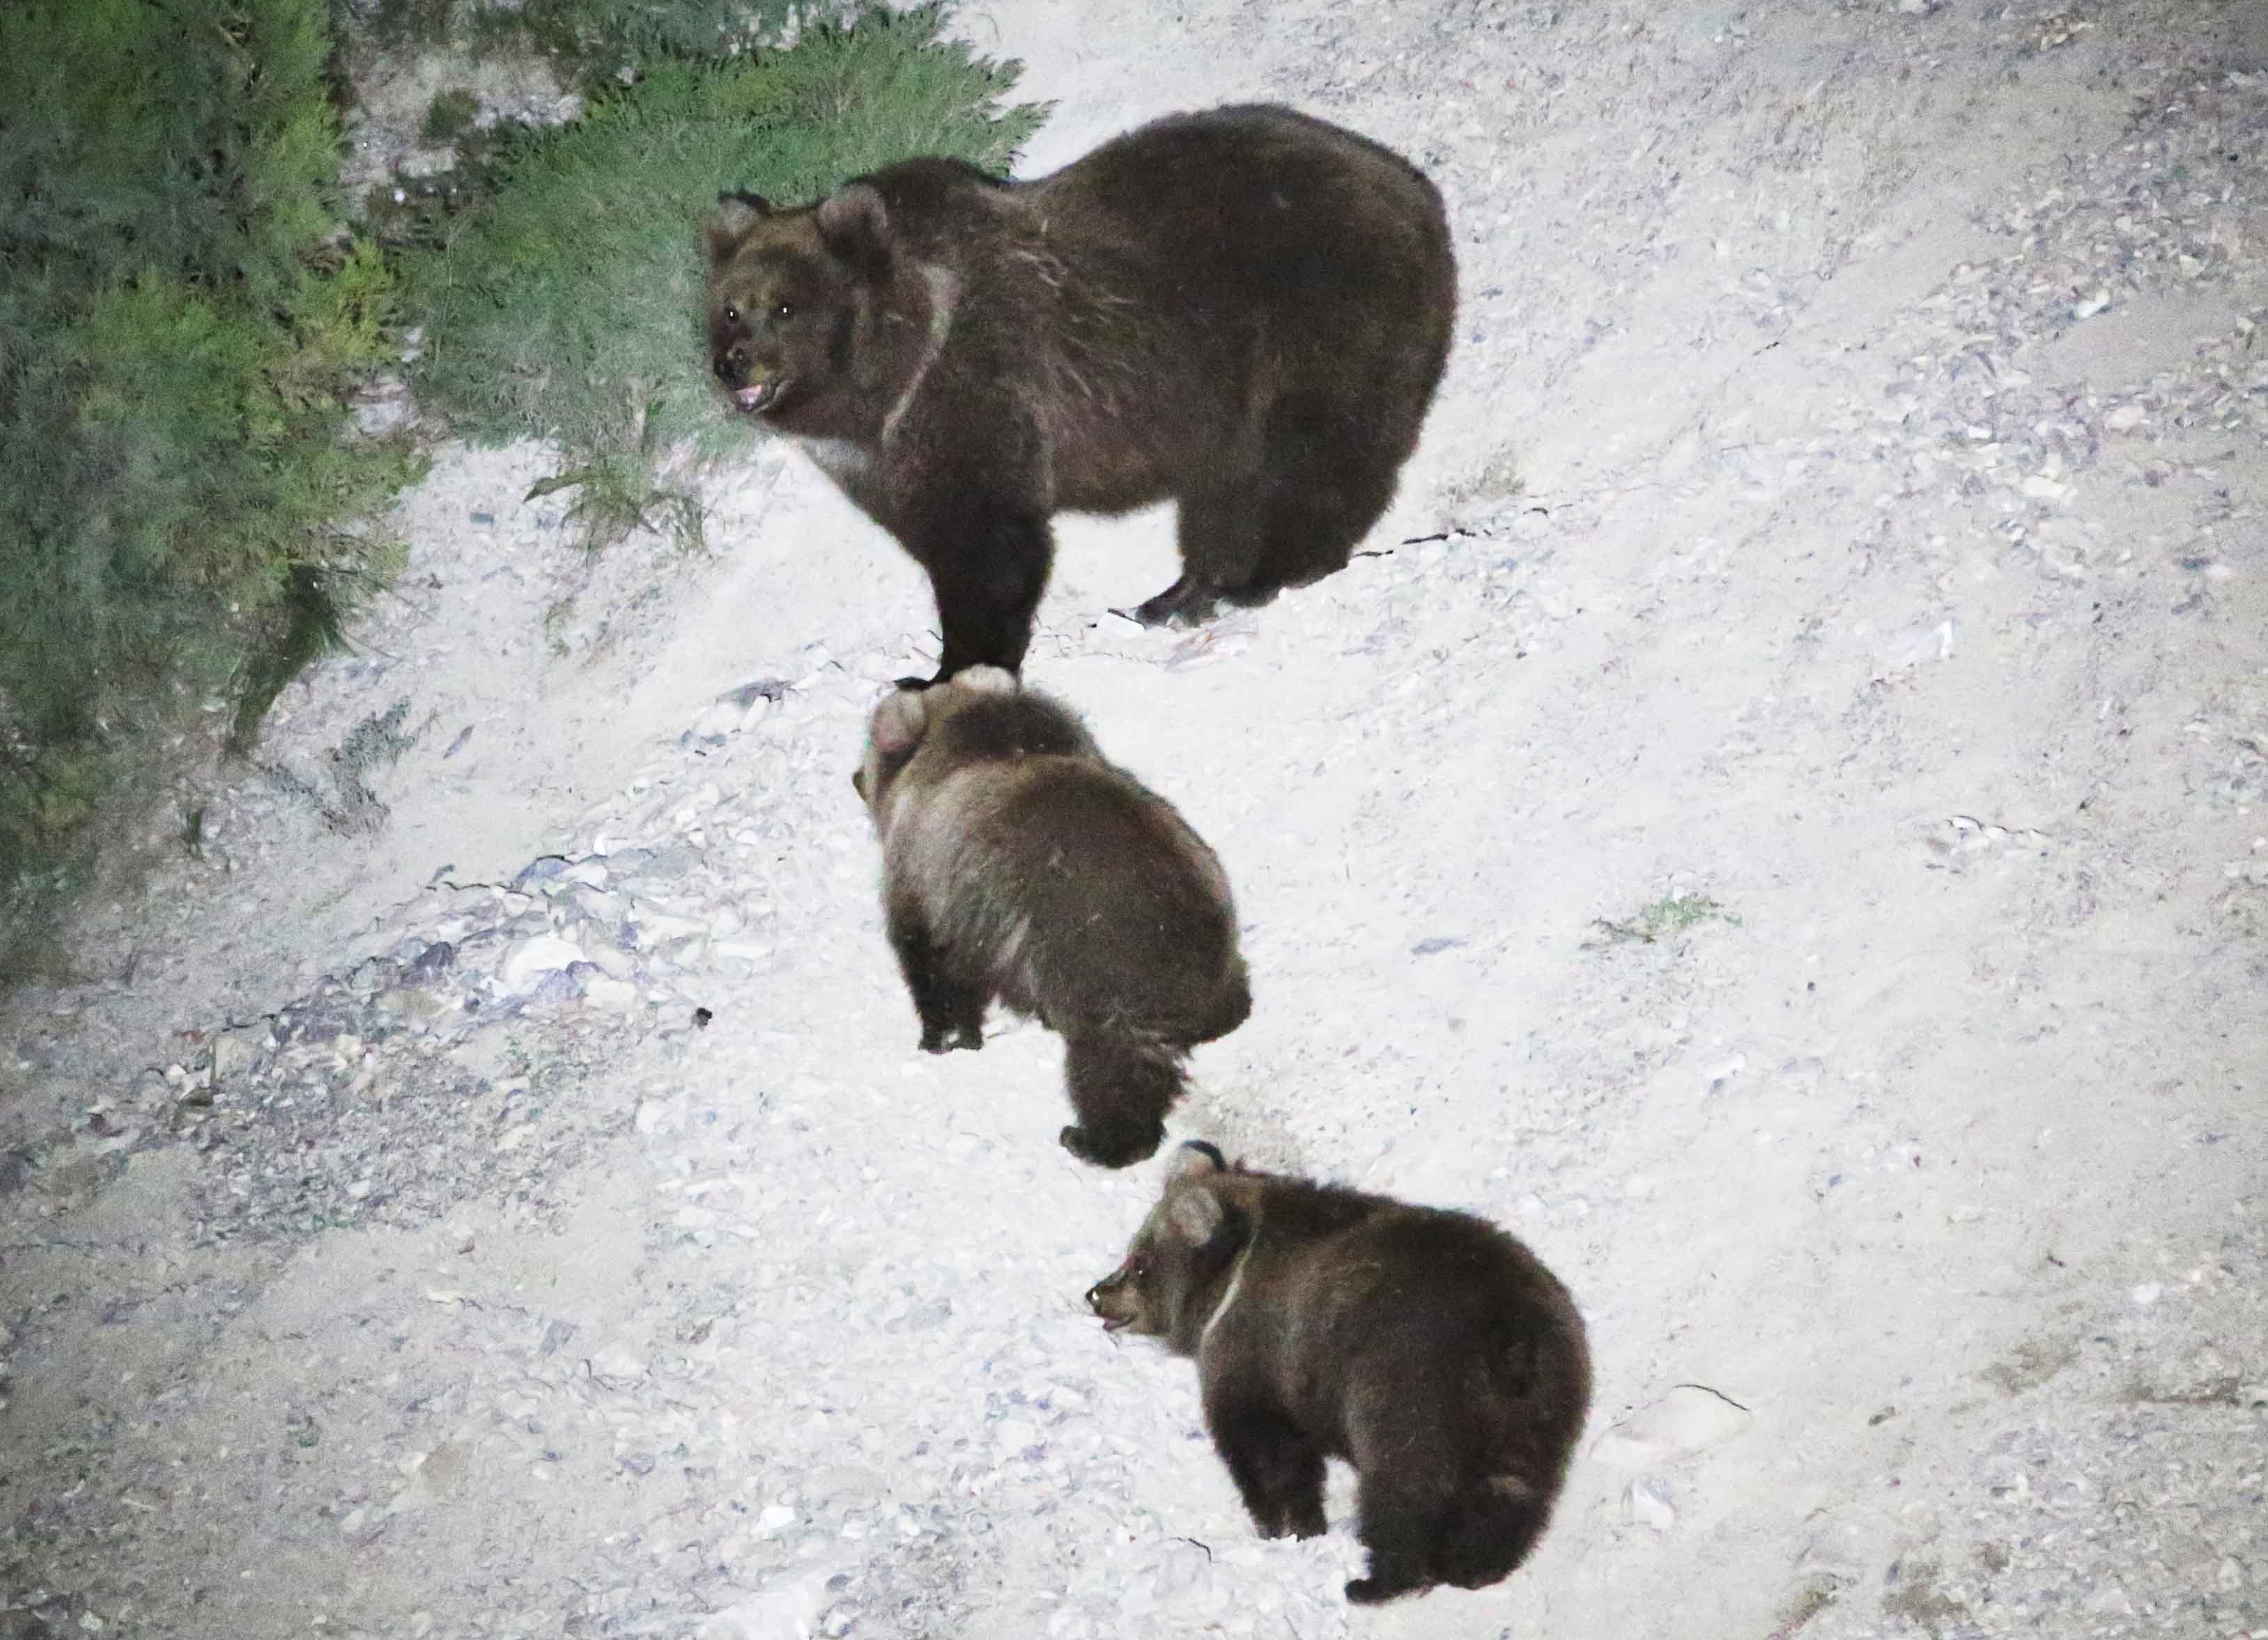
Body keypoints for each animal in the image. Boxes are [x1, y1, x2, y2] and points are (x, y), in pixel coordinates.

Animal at [707, 103, 1456, 682]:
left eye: (784, 307)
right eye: (730, 309)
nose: (732, 365)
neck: (883, 389)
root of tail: (1399, 181)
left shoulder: (973, 393)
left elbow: (986, 543)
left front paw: (946, 668)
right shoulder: (881, 461)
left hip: (1311, 304)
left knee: (1313, 442)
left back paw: (1271, 573)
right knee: (1228, 482)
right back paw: (1179, 594)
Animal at [852, 668, 1250, 1165]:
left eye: (866, 754)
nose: (854, 777)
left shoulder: (932, 882)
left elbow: (932, 964)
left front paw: (943, 1036)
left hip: (1105, 975)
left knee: (1110, 1070)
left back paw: (1092, 1139)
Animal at [1087, 1142, 1591, 1604]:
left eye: (1139, 1262)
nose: (1095, 1294)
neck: (1226, 1290)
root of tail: (1508, 1332)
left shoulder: (1261, 1355)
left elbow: (1266, 1448)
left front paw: (1284, 1524)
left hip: (1408, 1385)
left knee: (1405, 1487)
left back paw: (1377, 1581)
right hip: (1536, 1404)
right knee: (1513, 1487)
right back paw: (1476, 1565)